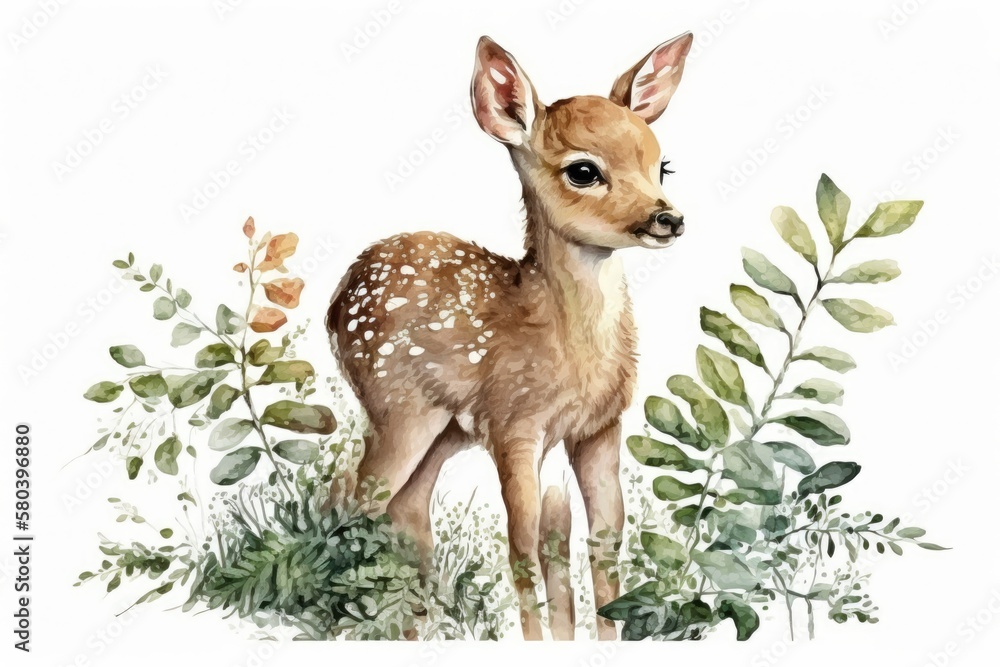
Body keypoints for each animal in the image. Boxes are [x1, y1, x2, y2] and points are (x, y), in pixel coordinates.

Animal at [326, 32, 693, 640]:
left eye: (661, 165)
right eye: (584, 171)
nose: (669, 219)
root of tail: (336, 300)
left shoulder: (599, 426)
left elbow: (599, 540)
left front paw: (600, 637)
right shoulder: (514, 424)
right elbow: (522, 544)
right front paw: (536, 640)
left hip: (443, 430)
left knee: (404, 509)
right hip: (398, 405)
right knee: (353, 501)